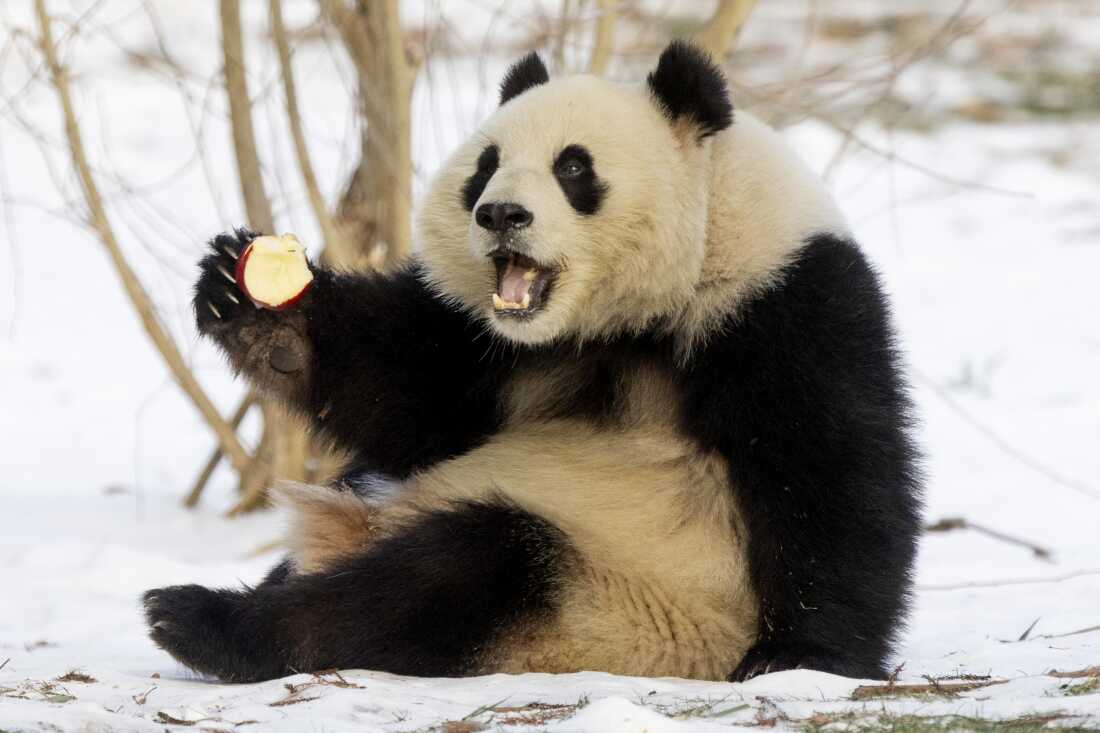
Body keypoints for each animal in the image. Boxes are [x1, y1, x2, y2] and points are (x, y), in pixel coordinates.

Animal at [143, 41, 922, 684]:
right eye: (485, 166)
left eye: (573, 167)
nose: (500, 215)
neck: (613, 322)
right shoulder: (487, 342)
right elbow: (411, 395)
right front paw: (252, 303)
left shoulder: (783, 299)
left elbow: (827, 473)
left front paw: (800, 656)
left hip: (603, 605)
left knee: (454, 572)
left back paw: (207, 621)